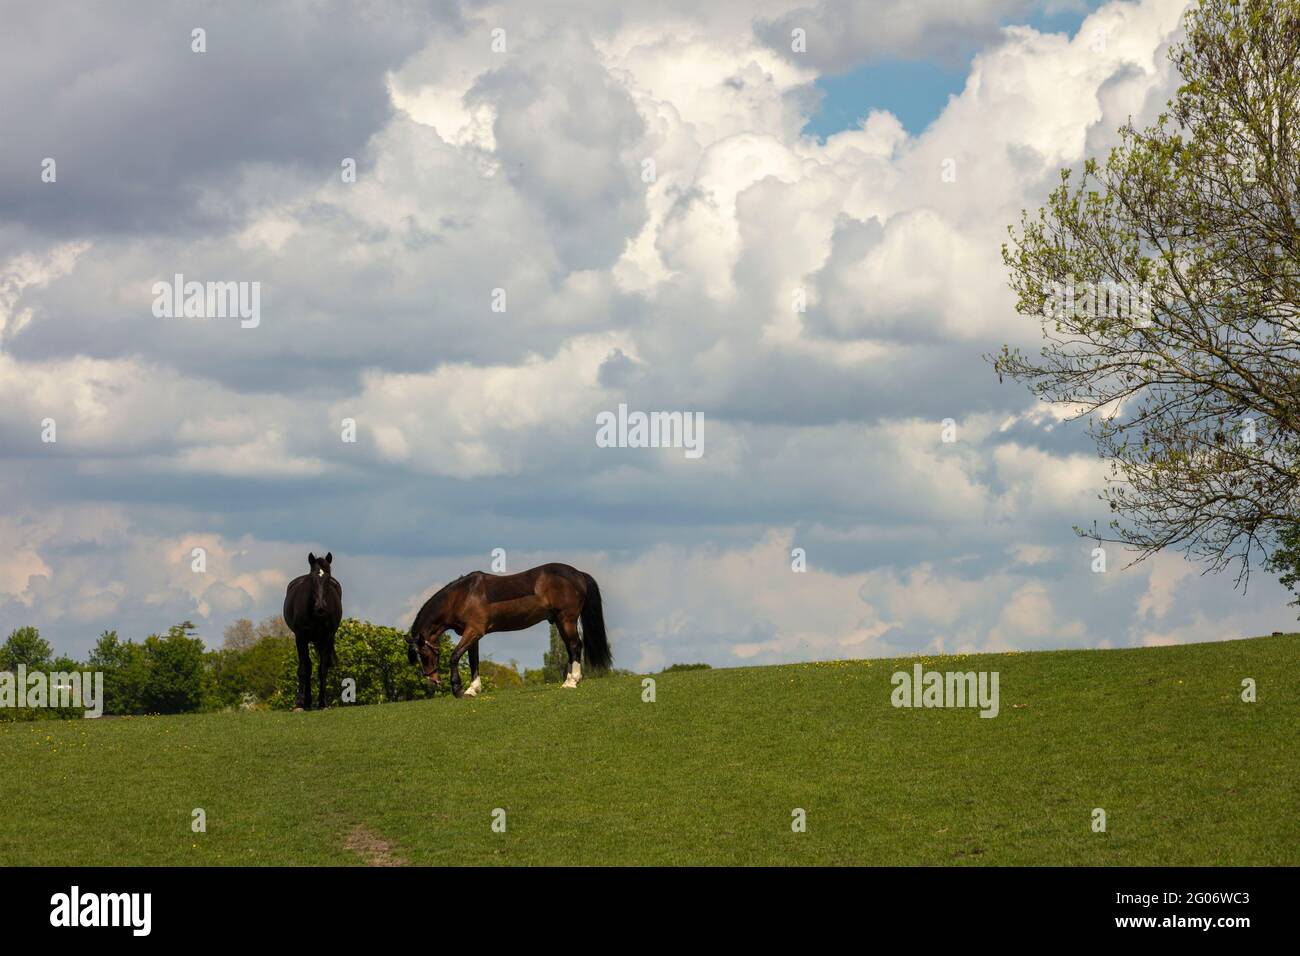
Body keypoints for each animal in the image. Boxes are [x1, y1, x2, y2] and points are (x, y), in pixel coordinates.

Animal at [283, 552, 343, 710]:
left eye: (328, 578)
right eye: (312, 578)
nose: (320, 607)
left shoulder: (327, 637)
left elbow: (322, 669)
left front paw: (323, 702)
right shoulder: (301, 637)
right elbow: (304, 669)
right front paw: (299, 703)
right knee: (307, 666)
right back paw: (306, 702)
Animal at [406, 562, 611, 698]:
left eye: (423, 654)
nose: (432, 679)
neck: (462, 597)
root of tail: (578, 574)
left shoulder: (473, 631)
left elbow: (455, 656)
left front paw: (457, 689)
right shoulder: (472, 635)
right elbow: (474, 661)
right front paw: (473, 689)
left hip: (566, 619)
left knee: (575, 646)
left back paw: (572, 681)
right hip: (561, 622)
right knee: (570, 647)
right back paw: (568, 680)